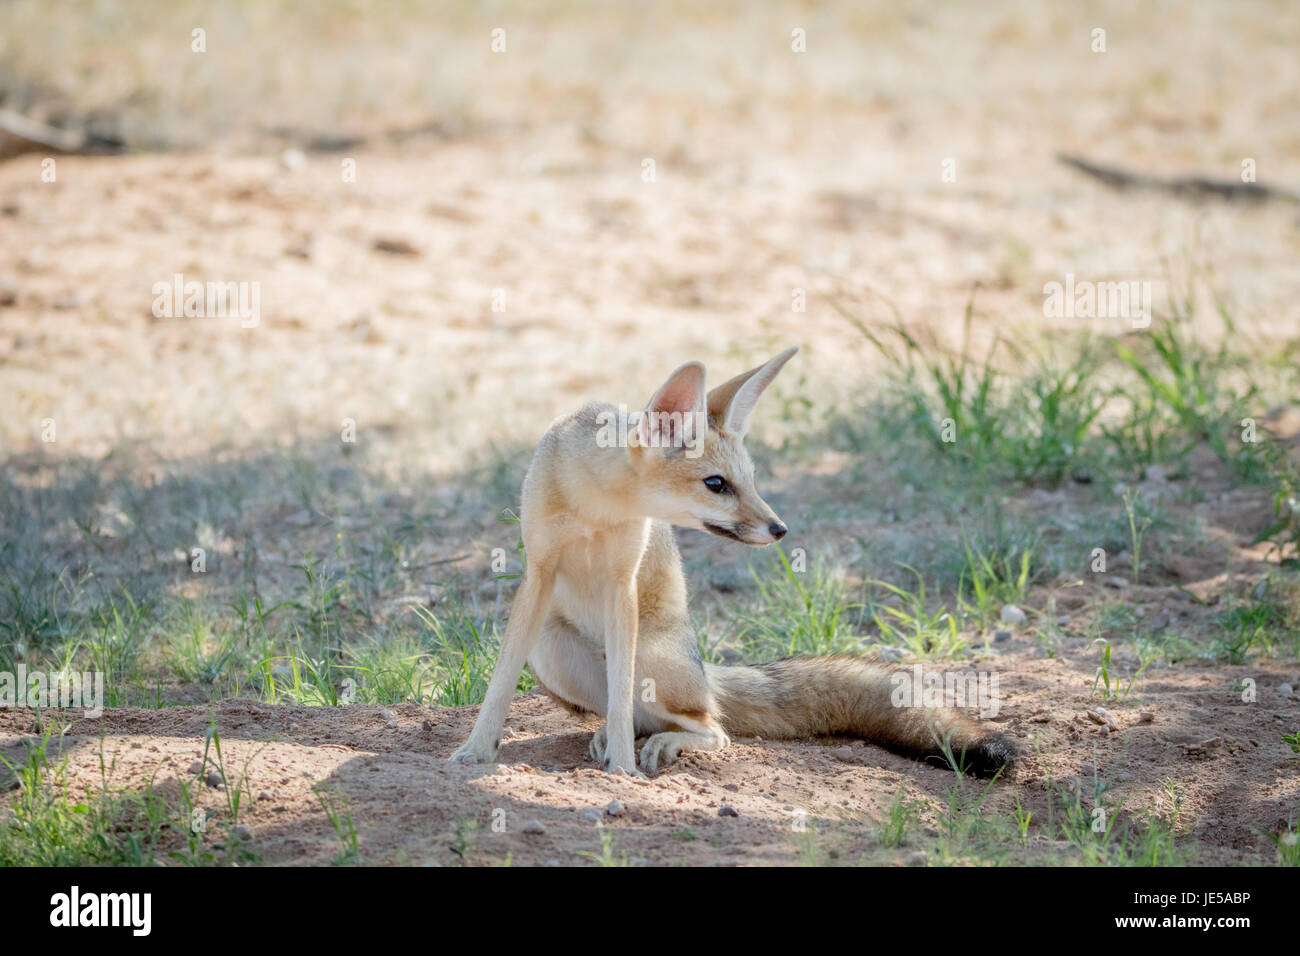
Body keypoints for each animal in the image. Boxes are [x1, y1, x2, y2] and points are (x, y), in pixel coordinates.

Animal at [450, 347, 1018, 777]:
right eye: (717, 484)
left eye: (750, 480)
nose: (780, 529)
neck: (594, 506)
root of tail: (704, 667)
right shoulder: (538, 572)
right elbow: (499, 684)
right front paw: (477, 750)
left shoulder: (622, 583)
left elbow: (626, 710)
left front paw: (623, 772)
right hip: (550, 650)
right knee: (642, 715)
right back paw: (619, 740)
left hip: (648, 660)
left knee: (710, 727)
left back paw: (655, 745)